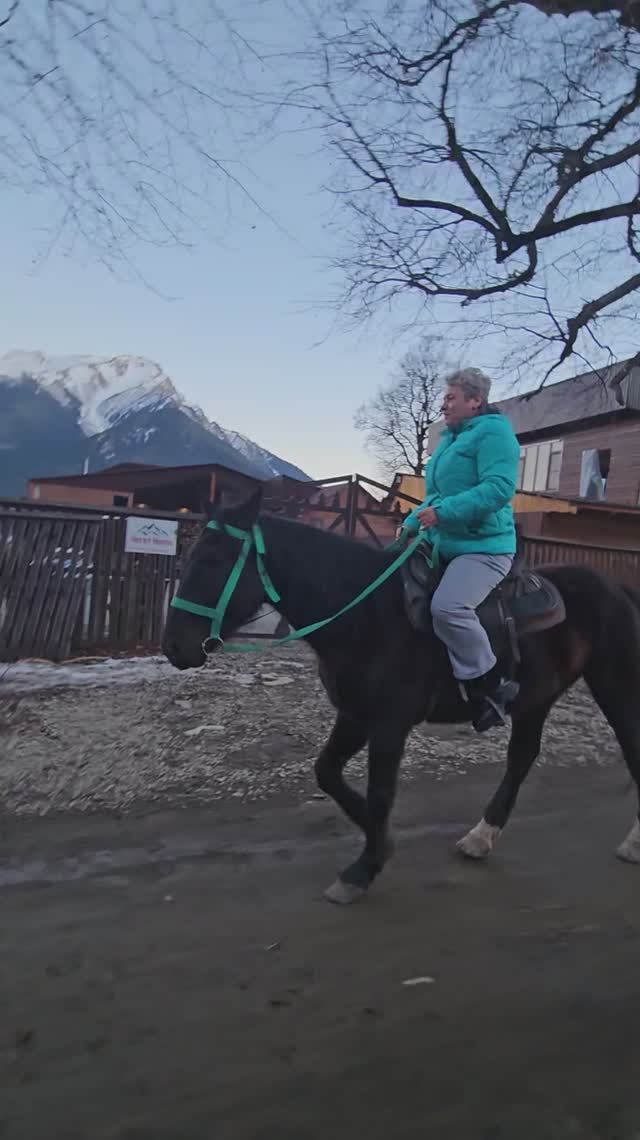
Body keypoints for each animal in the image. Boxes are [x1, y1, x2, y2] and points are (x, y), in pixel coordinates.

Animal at [161, 489, 640, 904]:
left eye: (214, 559)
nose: (174, 647)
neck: (364, 613)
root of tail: (616, 588)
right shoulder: (355, 716)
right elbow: (327, 774)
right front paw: (380, 842)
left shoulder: (389, 725)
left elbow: (379, 794)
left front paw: (363, 869)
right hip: (535, 700)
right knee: (522, 757)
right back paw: (481, 836)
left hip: (615, 686)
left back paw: (632, 842)